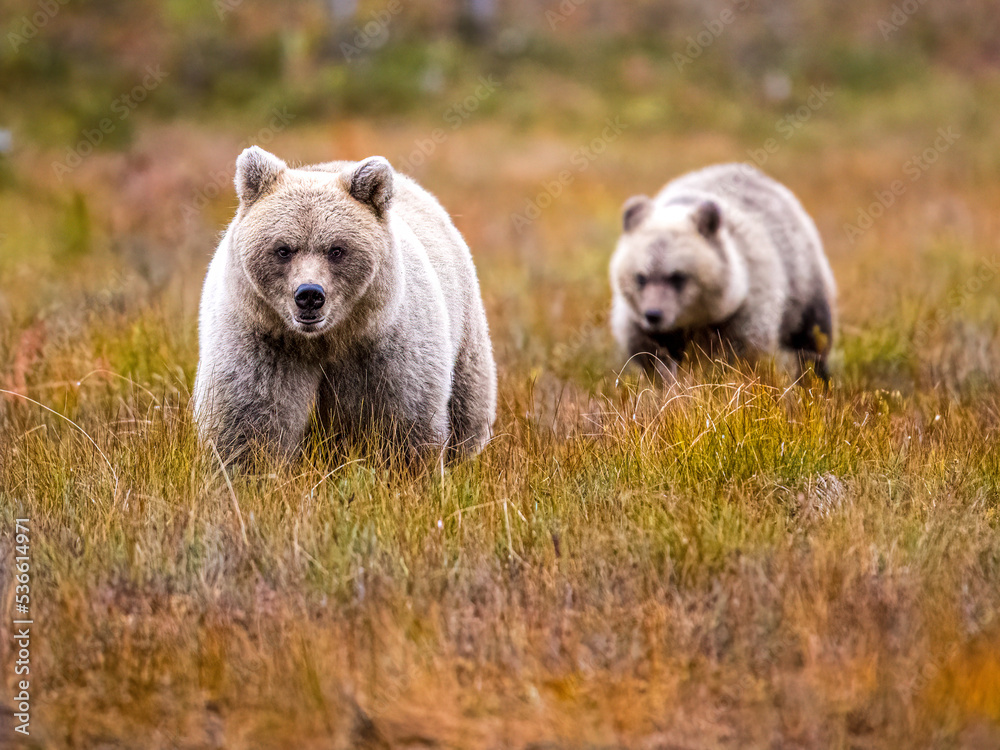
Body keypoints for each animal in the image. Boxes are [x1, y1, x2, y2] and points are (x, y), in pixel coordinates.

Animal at [193, 146, 497, 465]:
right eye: (283, 249)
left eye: (337, 250)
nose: (309, 295)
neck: (326, 339)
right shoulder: (262, 339)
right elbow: (248, 422)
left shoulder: (385, 346)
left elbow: (402, 420)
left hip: (466, 326)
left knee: (468, 404)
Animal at [609, 163, 836, 382]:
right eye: (640, 277)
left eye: (678, 277)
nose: (654, 315)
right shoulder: (636, 322)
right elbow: (650, 355)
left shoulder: (747, 308)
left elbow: (739, 356)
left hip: (803, 284)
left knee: (813, 338)